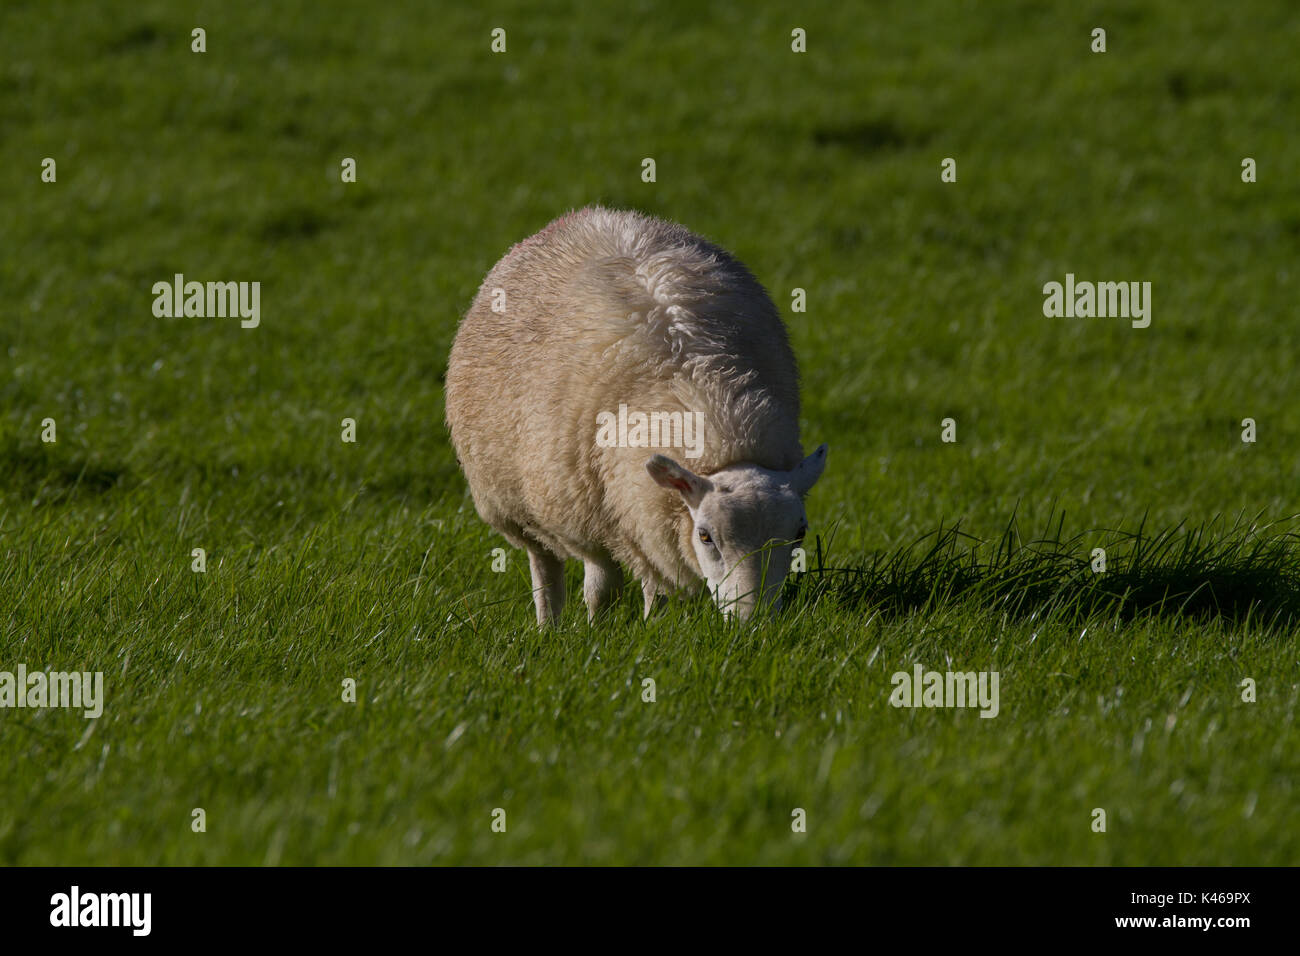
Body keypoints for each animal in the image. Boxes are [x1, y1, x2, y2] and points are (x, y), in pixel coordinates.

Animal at [445, 206, 827, 625]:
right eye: (705, 536)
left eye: (800, 533)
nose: (752, 621)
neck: (713, 406)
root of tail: (588, 213)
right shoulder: (596, 515)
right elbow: (601, 588)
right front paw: (596, 631)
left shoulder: (645, 517)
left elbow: (654, 588)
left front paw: (650, 627)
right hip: (520, 501)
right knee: (545, 566)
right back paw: (548, 625)